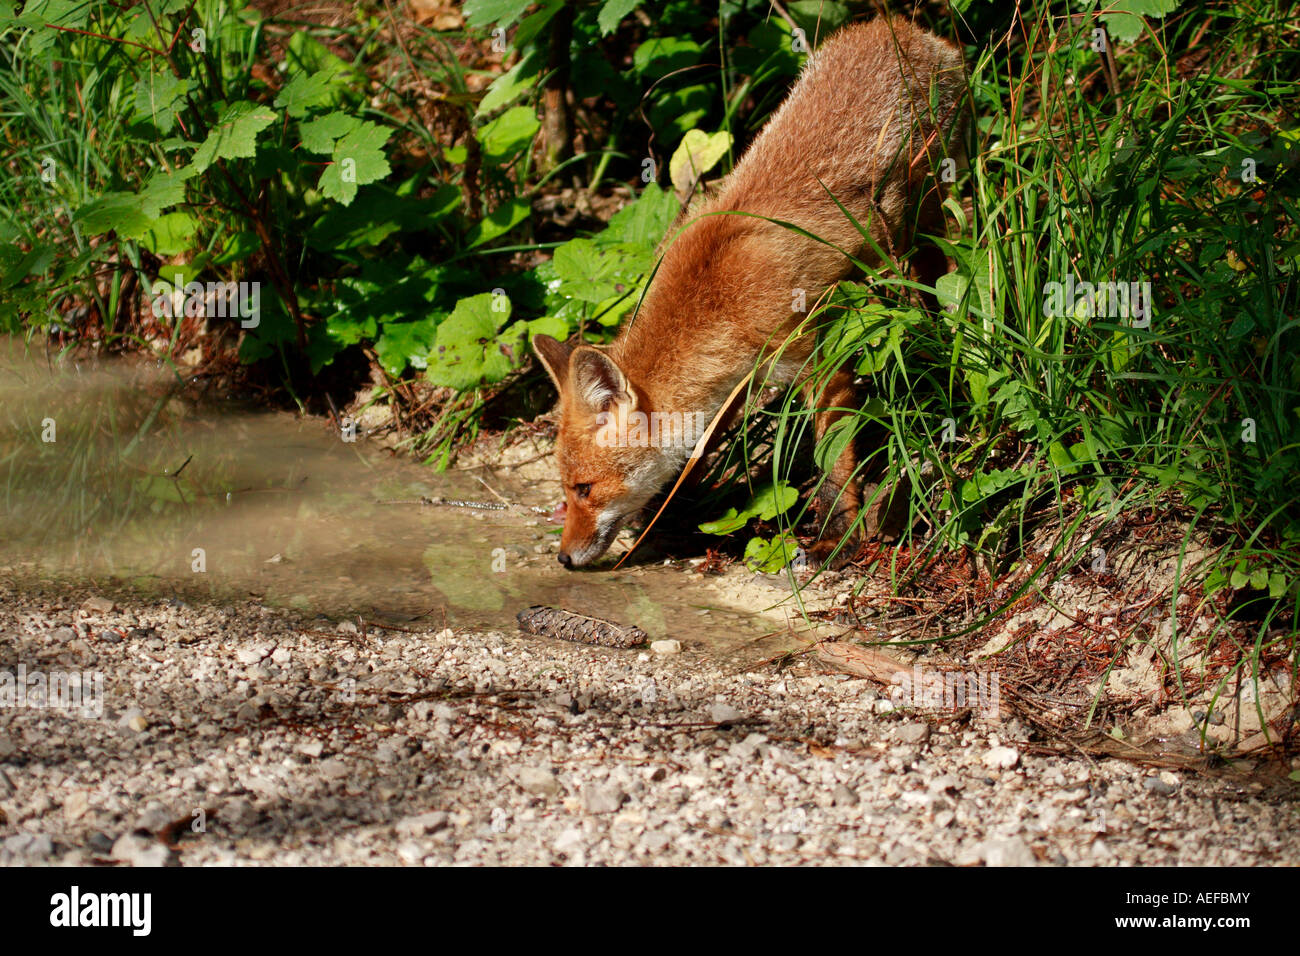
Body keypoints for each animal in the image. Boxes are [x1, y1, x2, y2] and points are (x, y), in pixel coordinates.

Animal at [533, 17, 966, 569]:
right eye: (566, 491)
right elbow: (697, 449)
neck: (719, 302)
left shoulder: (819, 354)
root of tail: (896, 25)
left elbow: (832, 459)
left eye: (584, 489)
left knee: (941, 266)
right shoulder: (732, 380)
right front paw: (667, 517)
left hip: (923, 207)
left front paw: (836, 535)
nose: (564, 559)